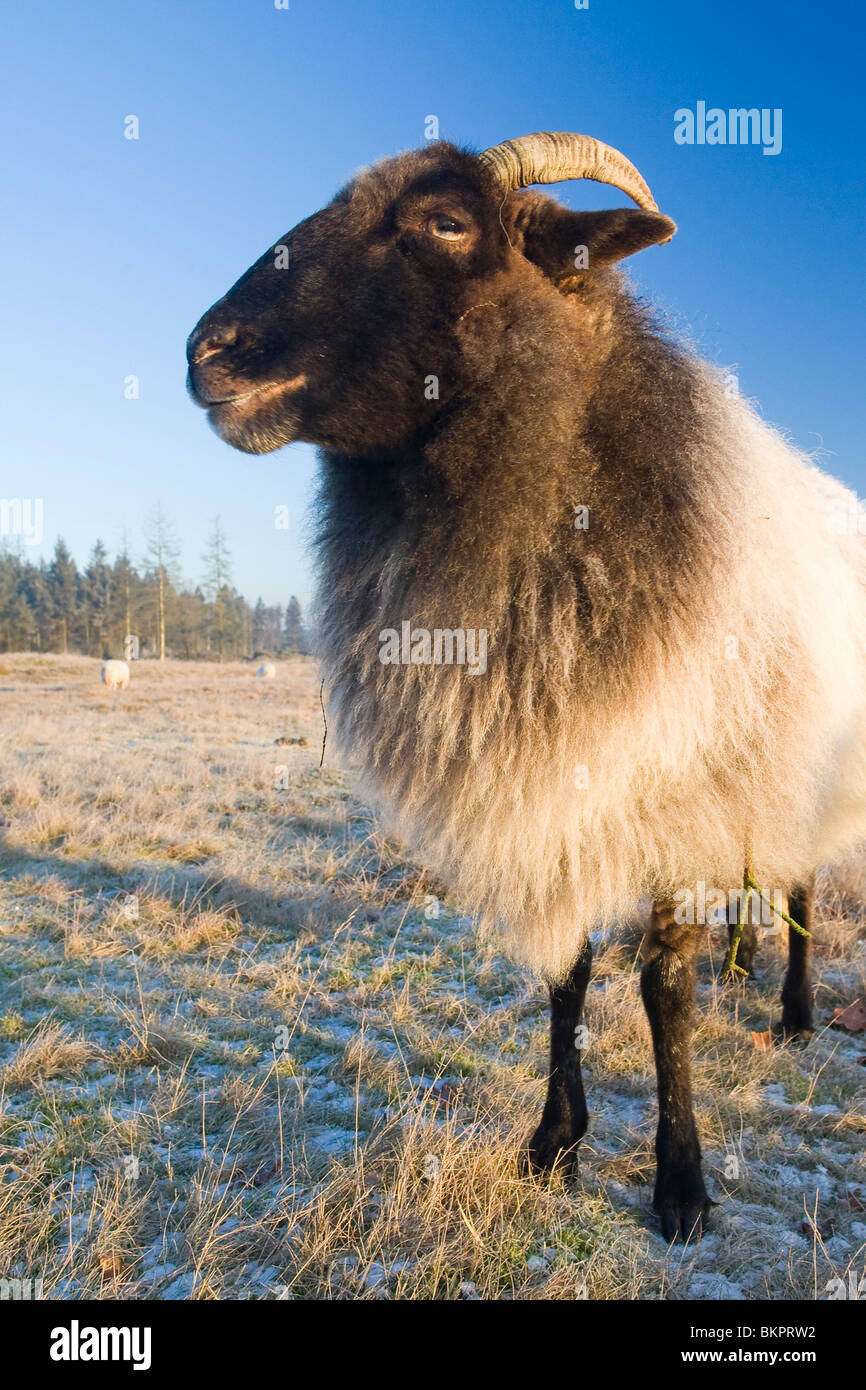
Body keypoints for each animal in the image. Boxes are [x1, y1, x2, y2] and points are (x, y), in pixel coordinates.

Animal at [187, 131, 866, 1242]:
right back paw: (743, 968)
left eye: (445, 223)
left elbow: (660, 986)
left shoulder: (674, 783)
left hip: (792, 755)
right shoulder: (556, 782)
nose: (206, 353)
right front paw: (553, 1145)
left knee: (800, 880)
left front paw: (680, 1183)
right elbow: (567, 975)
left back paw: (794, 1011)